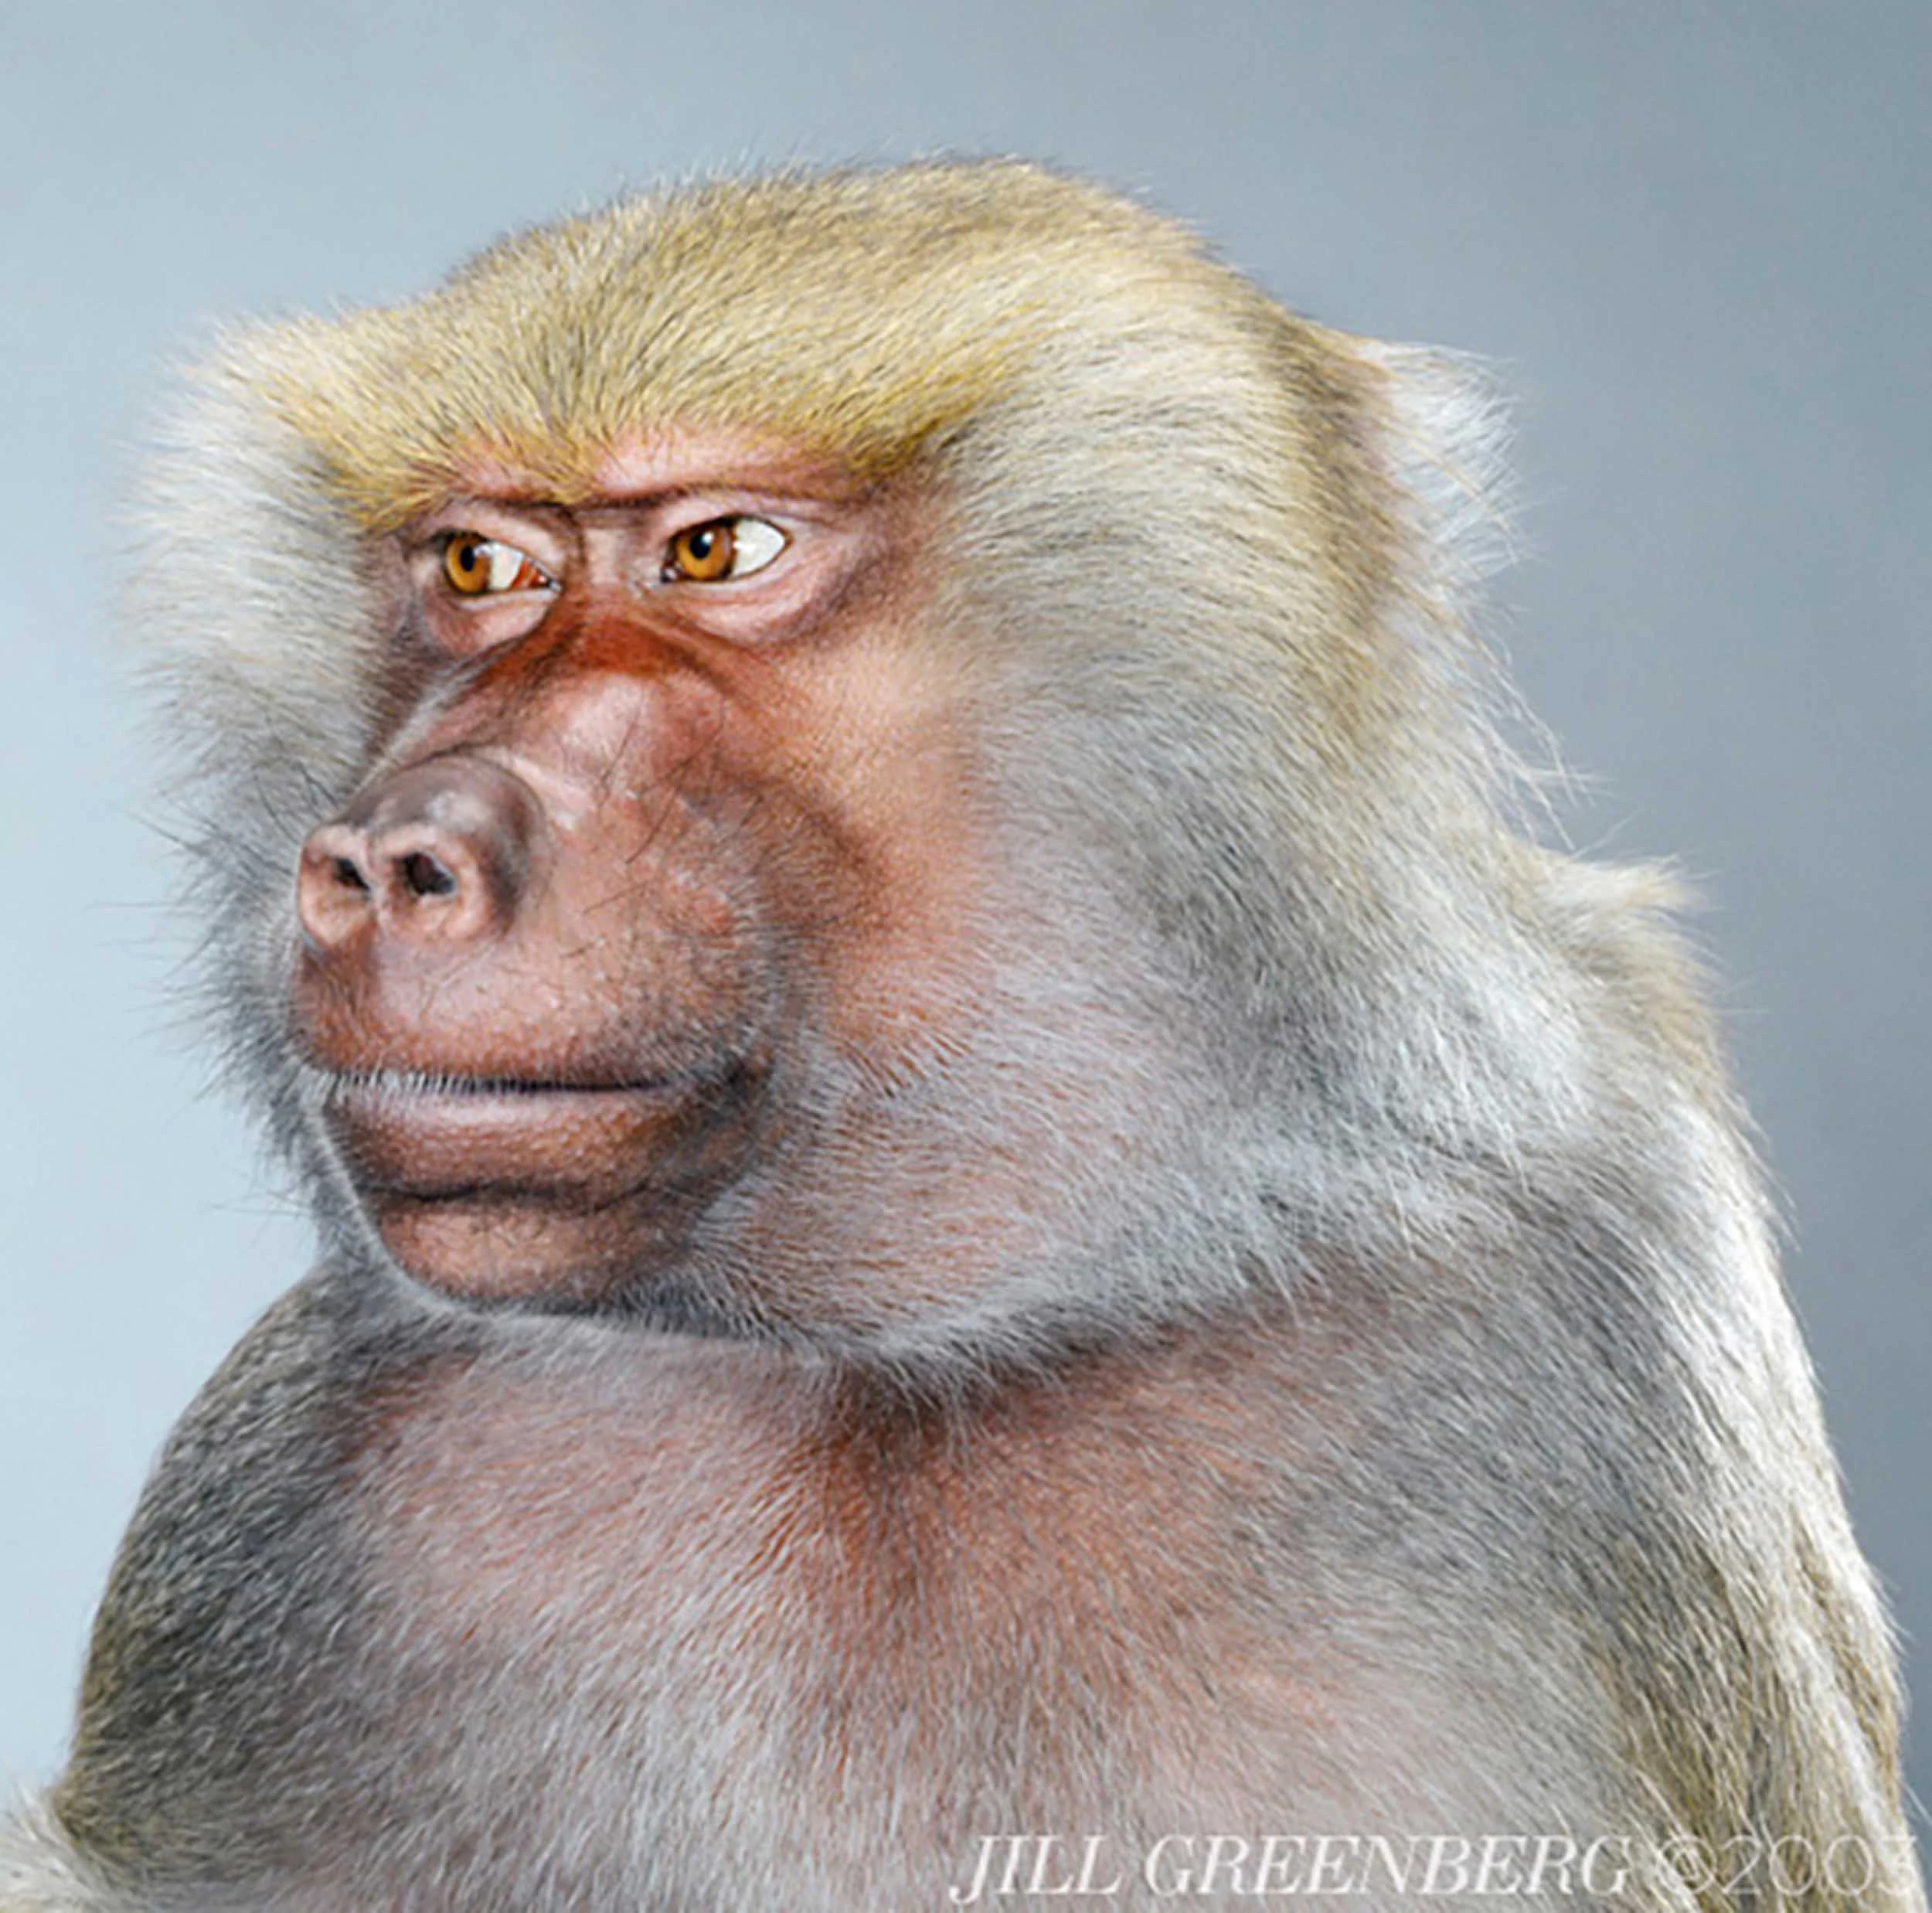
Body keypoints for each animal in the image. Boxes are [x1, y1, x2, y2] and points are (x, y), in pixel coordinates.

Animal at [0, 161, 1921, 1912]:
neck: (895, 1359)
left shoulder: (1579, 1357)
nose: (389, 856)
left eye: (717, 549)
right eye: (478, 562)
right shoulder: (306, 1471)